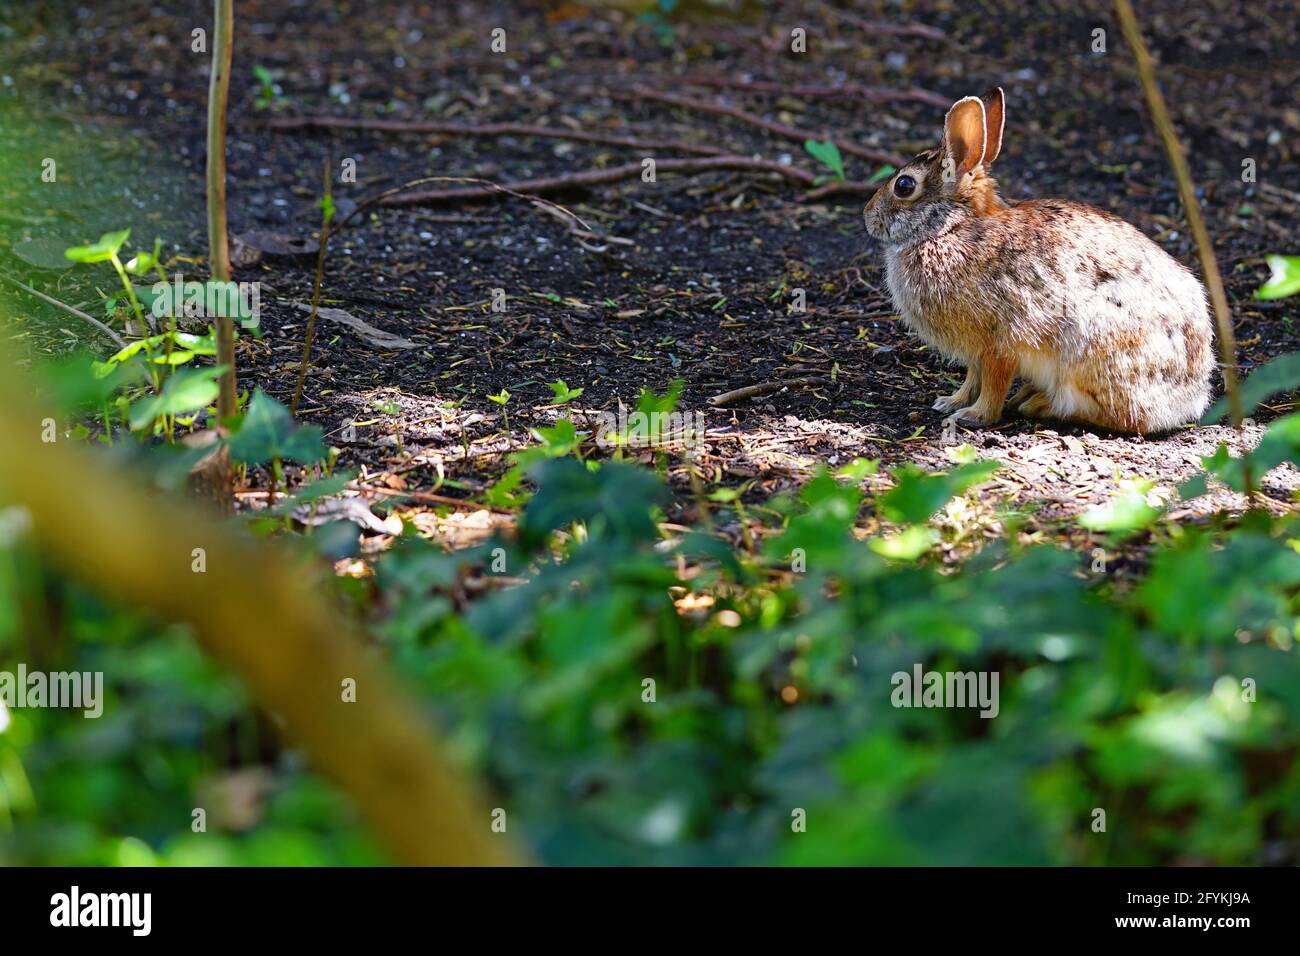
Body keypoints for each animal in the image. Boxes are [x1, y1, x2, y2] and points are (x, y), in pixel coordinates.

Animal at [863, 87, 1215, 435]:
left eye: (904, 185)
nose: (867, 216)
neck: (950, 227)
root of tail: (1191, 395)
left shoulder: (999, 342)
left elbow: (992, 383)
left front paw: (974, 416)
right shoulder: (976, 349)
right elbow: (972, 378)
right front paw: (951, 402)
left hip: (1090, 347)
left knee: (1126, 416)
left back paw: (1038, 404)